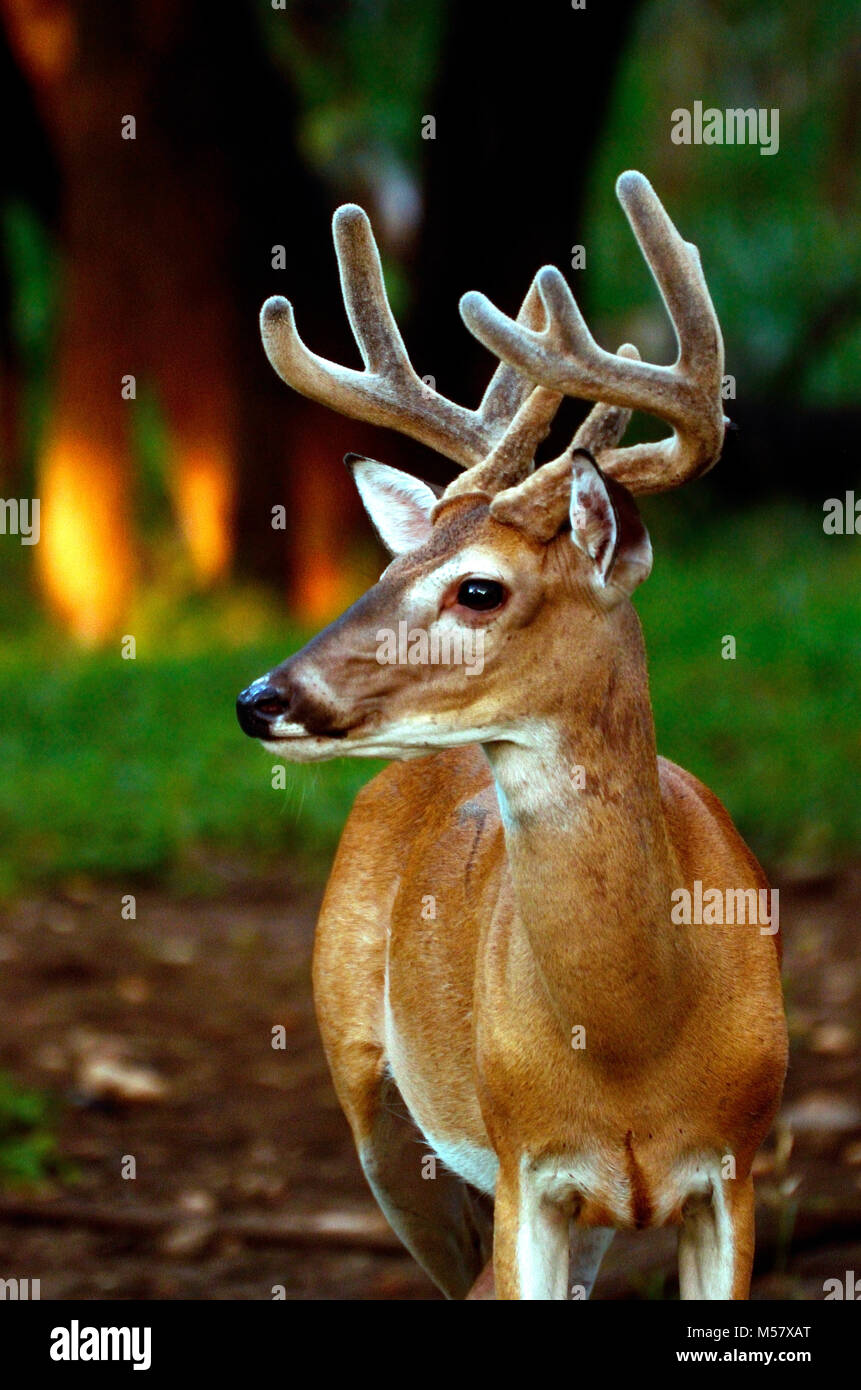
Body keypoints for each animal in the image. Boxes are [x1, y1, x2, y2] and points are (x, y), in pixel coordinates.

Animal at [237, 171, 788, 1300]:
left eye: (479, 588)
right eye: (389, 569)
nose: (261, 696)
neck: (634, 1045)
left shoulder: (737, 1168)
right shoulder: (524, 1164)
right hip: (375, 1098)